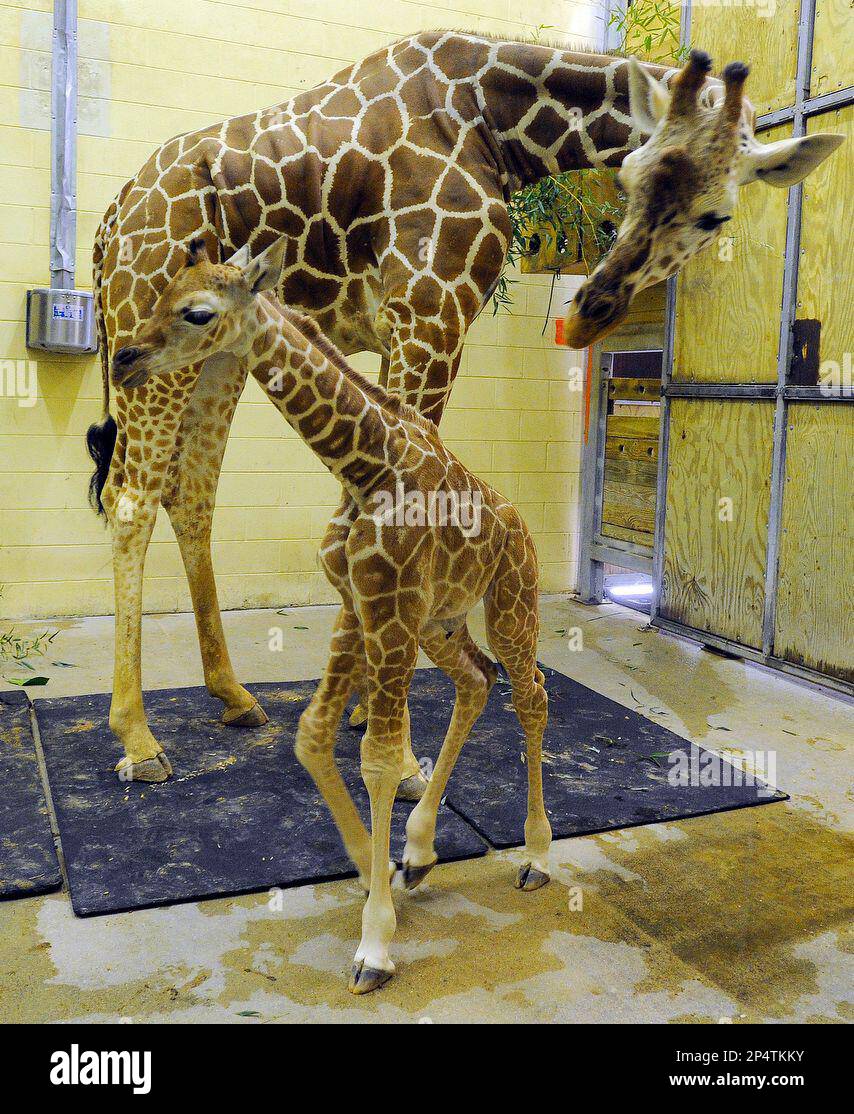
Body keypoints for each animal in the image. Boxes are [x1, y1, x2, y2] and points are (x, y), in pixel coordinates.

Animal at [87, 33, 842, 785]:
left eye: (716, 215)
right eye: (627, 176)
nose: (591, 311)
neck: (492, 120)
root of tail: (110, 221)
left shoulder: (409, 323)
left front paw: (361, 708)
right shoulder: (428, 307)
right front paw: (395, 746)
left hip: (214, 357)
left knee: (190, 498)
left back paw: (235, 696)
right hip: (145, 338)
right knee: (130, 498)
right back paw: (137, 739)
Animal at [111, 234, 552, 993]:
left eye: (197, 312)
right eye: (160, 294)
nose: (123, 360)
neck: (362, 463)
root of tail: (522, 529)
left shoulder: (388, 610)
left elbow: (376, 758)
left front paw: (375, 944)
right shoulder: (361, 606)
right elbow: (312, 736)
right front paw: (372, 867)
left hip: (508, 606)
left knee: (531, 694)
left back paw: (536, 857)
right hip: (440, 625)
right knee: (477, 681)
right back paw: (421, 854)